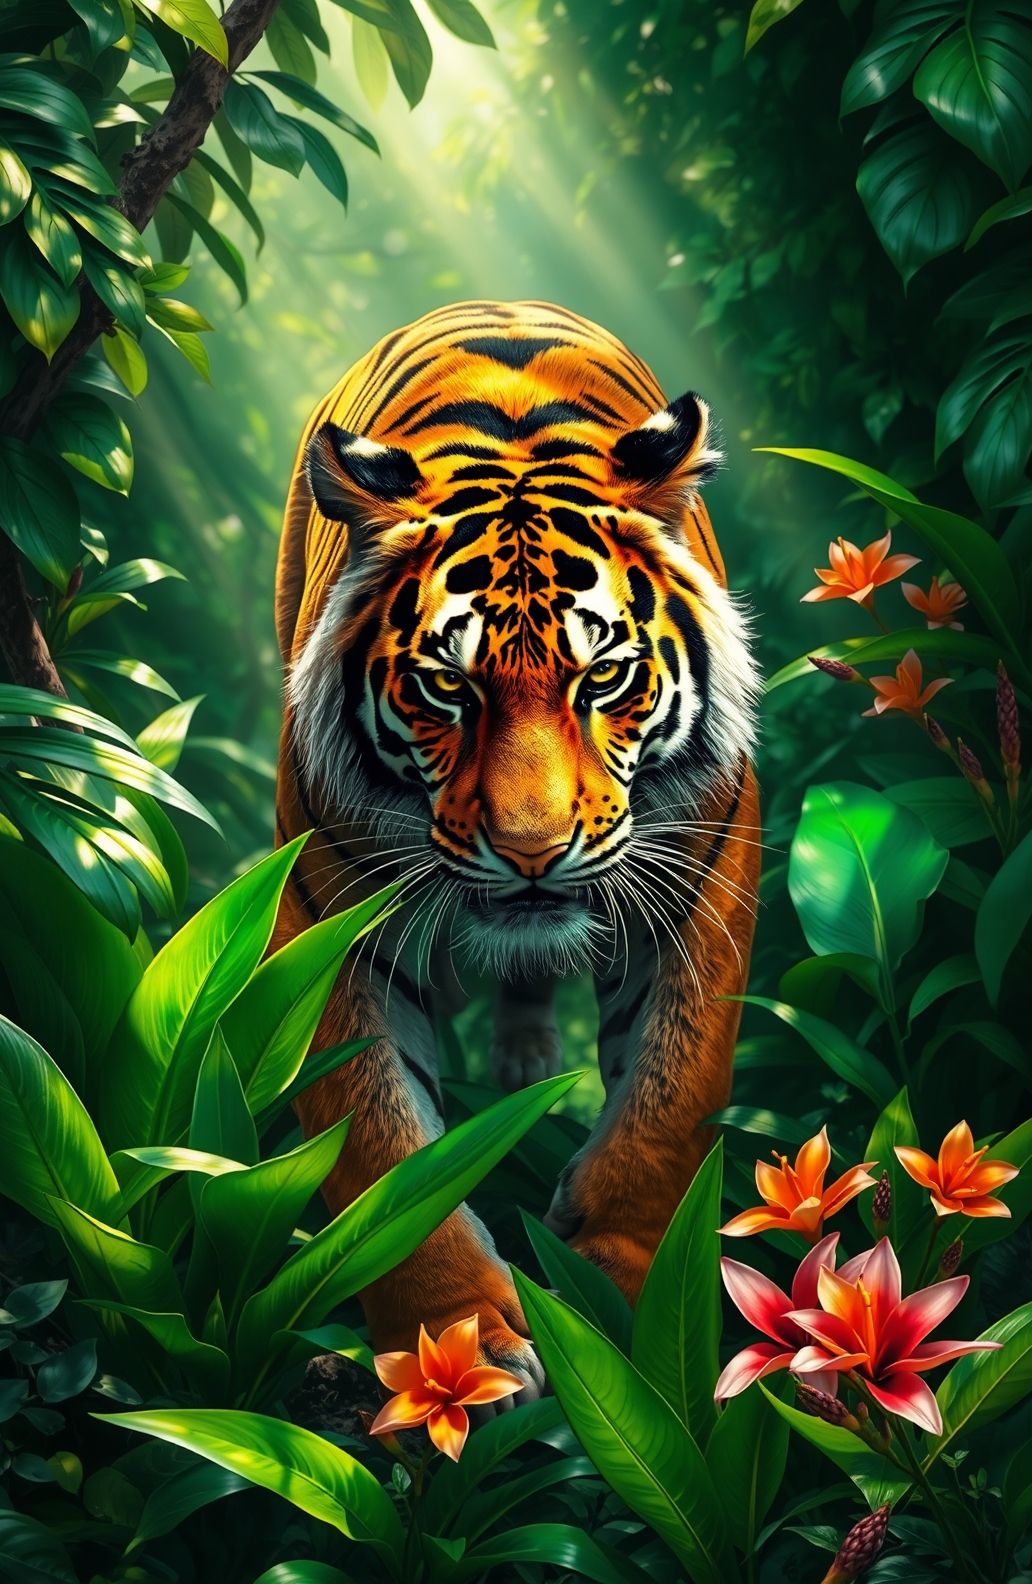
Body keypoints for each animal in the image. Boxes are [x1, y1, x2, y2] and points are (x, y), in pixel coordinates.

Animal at [272, 300, 761, 1403]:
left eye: (604, 676)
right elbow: (380, 1145)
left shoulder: (704, 884)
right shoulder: (329, 924)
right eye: (448, 687)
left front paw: (626, 1304)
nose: (532, 852)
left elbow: (669, 1100)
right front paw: (451, 1355)